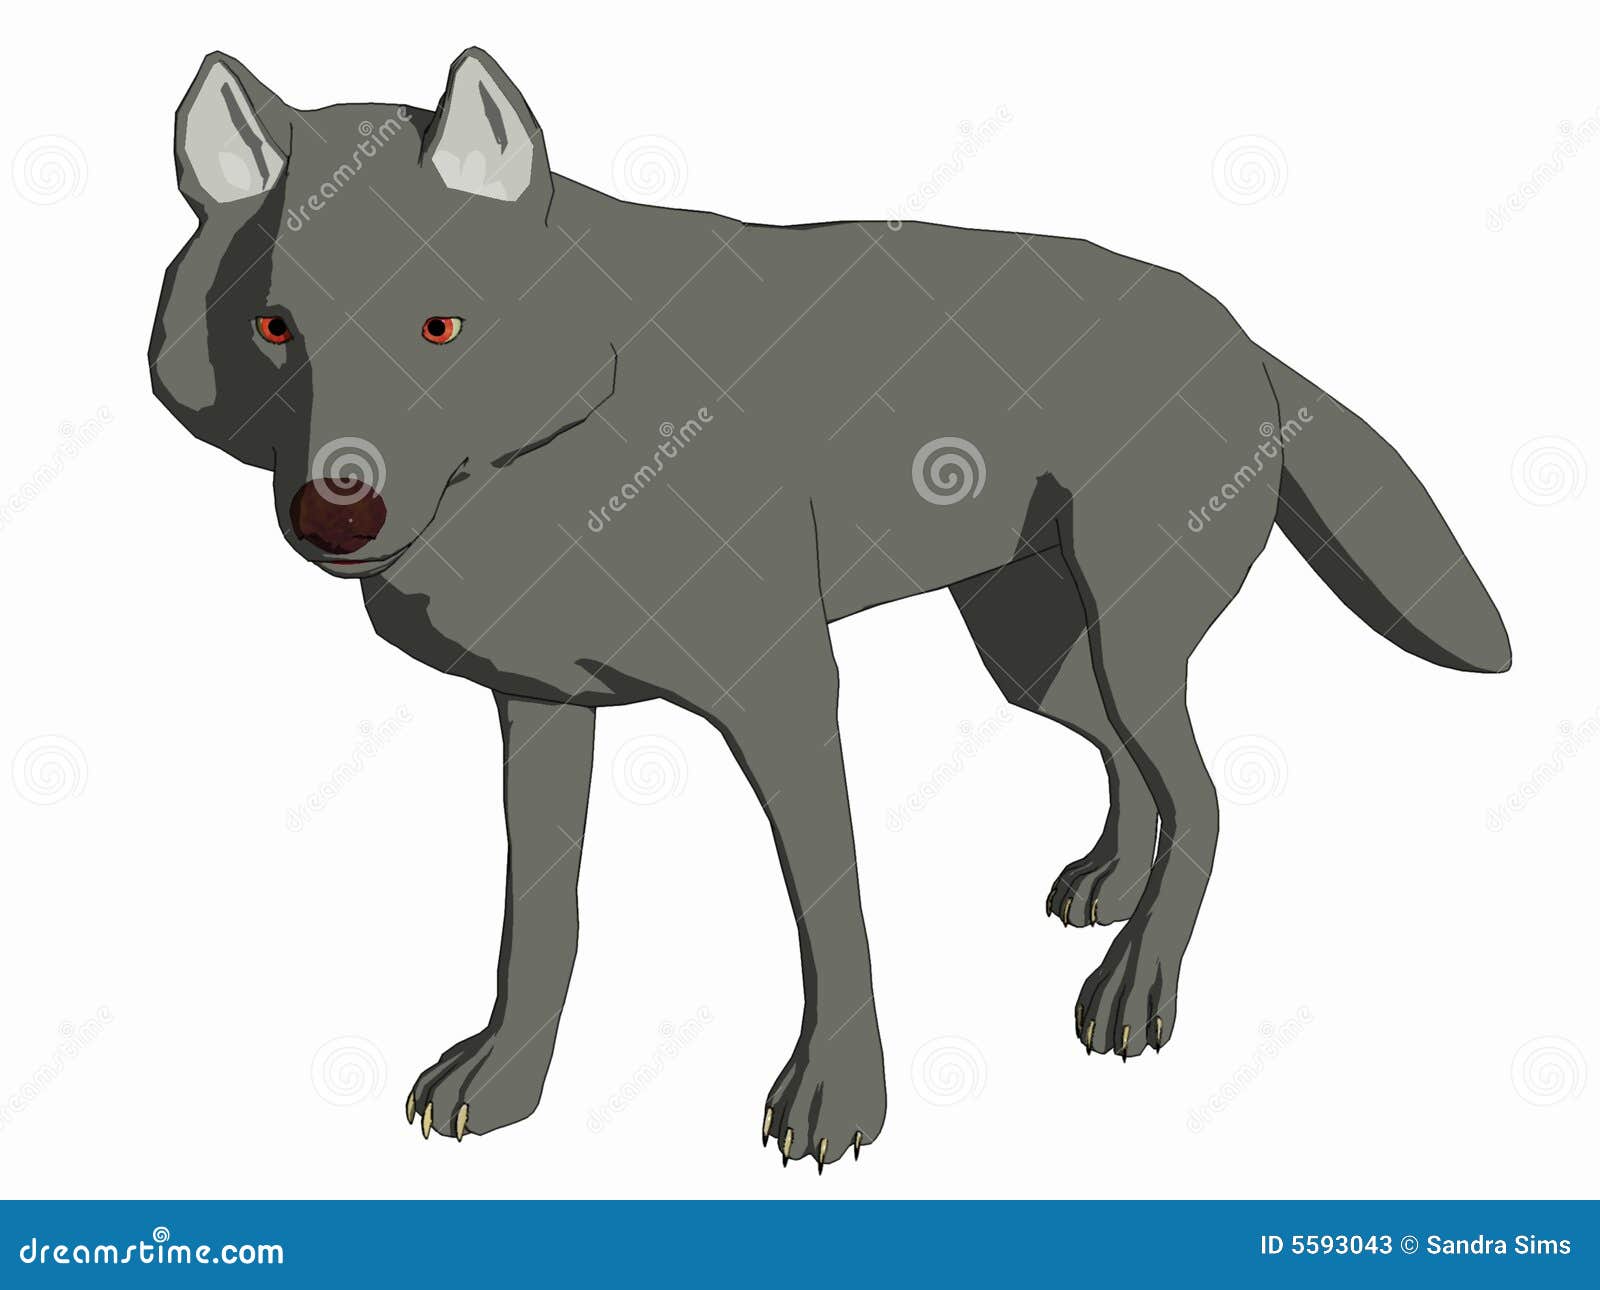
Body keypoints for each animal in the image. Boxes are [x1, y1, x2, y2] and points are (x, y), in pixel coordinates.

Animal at [150, 48, 1511, 1169]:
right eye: (275, 327)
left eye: (439, 326)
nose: (337, 515)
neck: (574, 445)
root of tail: (1240, 328)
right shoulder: (537, 714)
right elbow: (540, 923)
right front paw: (510, 1080)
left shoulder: (789, 696)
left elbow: (831, 912)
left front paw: (839, 1102)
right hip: (1035, 659)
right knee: (1141, 773)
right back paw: (1109, 890)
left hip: (1124, 642)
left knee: (1210, 795)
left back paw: (1136, 987)